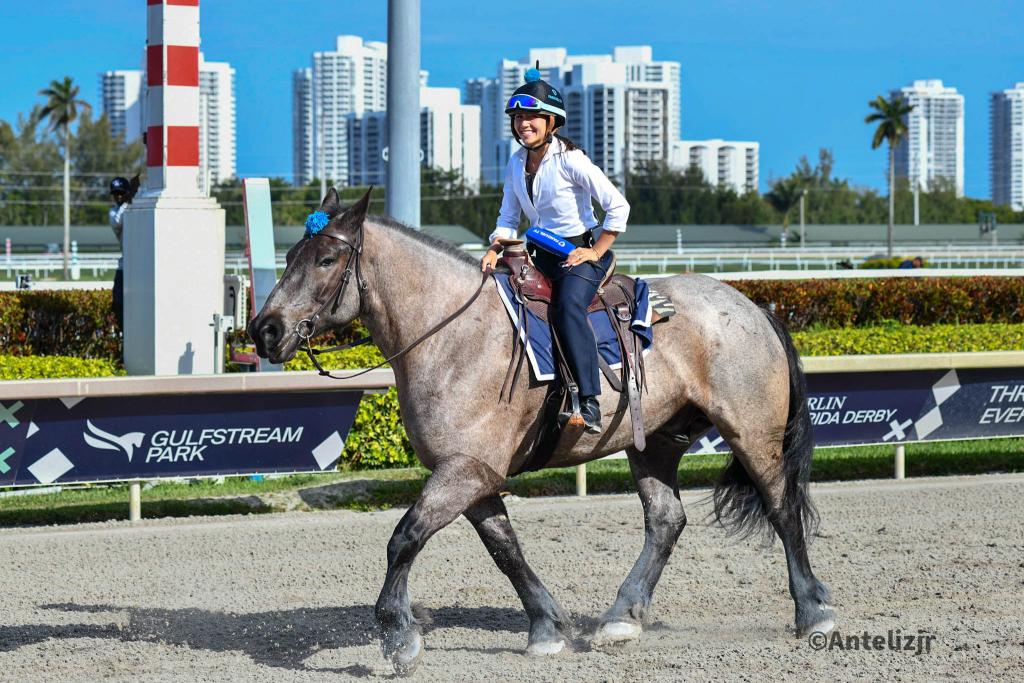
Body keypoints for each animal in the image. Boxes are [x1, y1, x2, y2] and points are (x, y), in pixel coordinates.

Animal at [248, 188, 835, 675]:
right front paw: (547, 628)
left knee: (781, 506)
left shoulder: (463, 471)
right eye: (291, 257)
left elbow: (404, 538)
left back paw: (813, 611)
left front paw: (400, 638)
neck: (453, 334)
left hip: (752, 434)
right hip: (655, 445)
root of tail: (751, 305)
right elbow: (504, 550)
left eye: (326, 259)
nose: (265, 330)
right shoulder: (473, 474)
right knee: (667, 520)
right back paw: (621, 618)